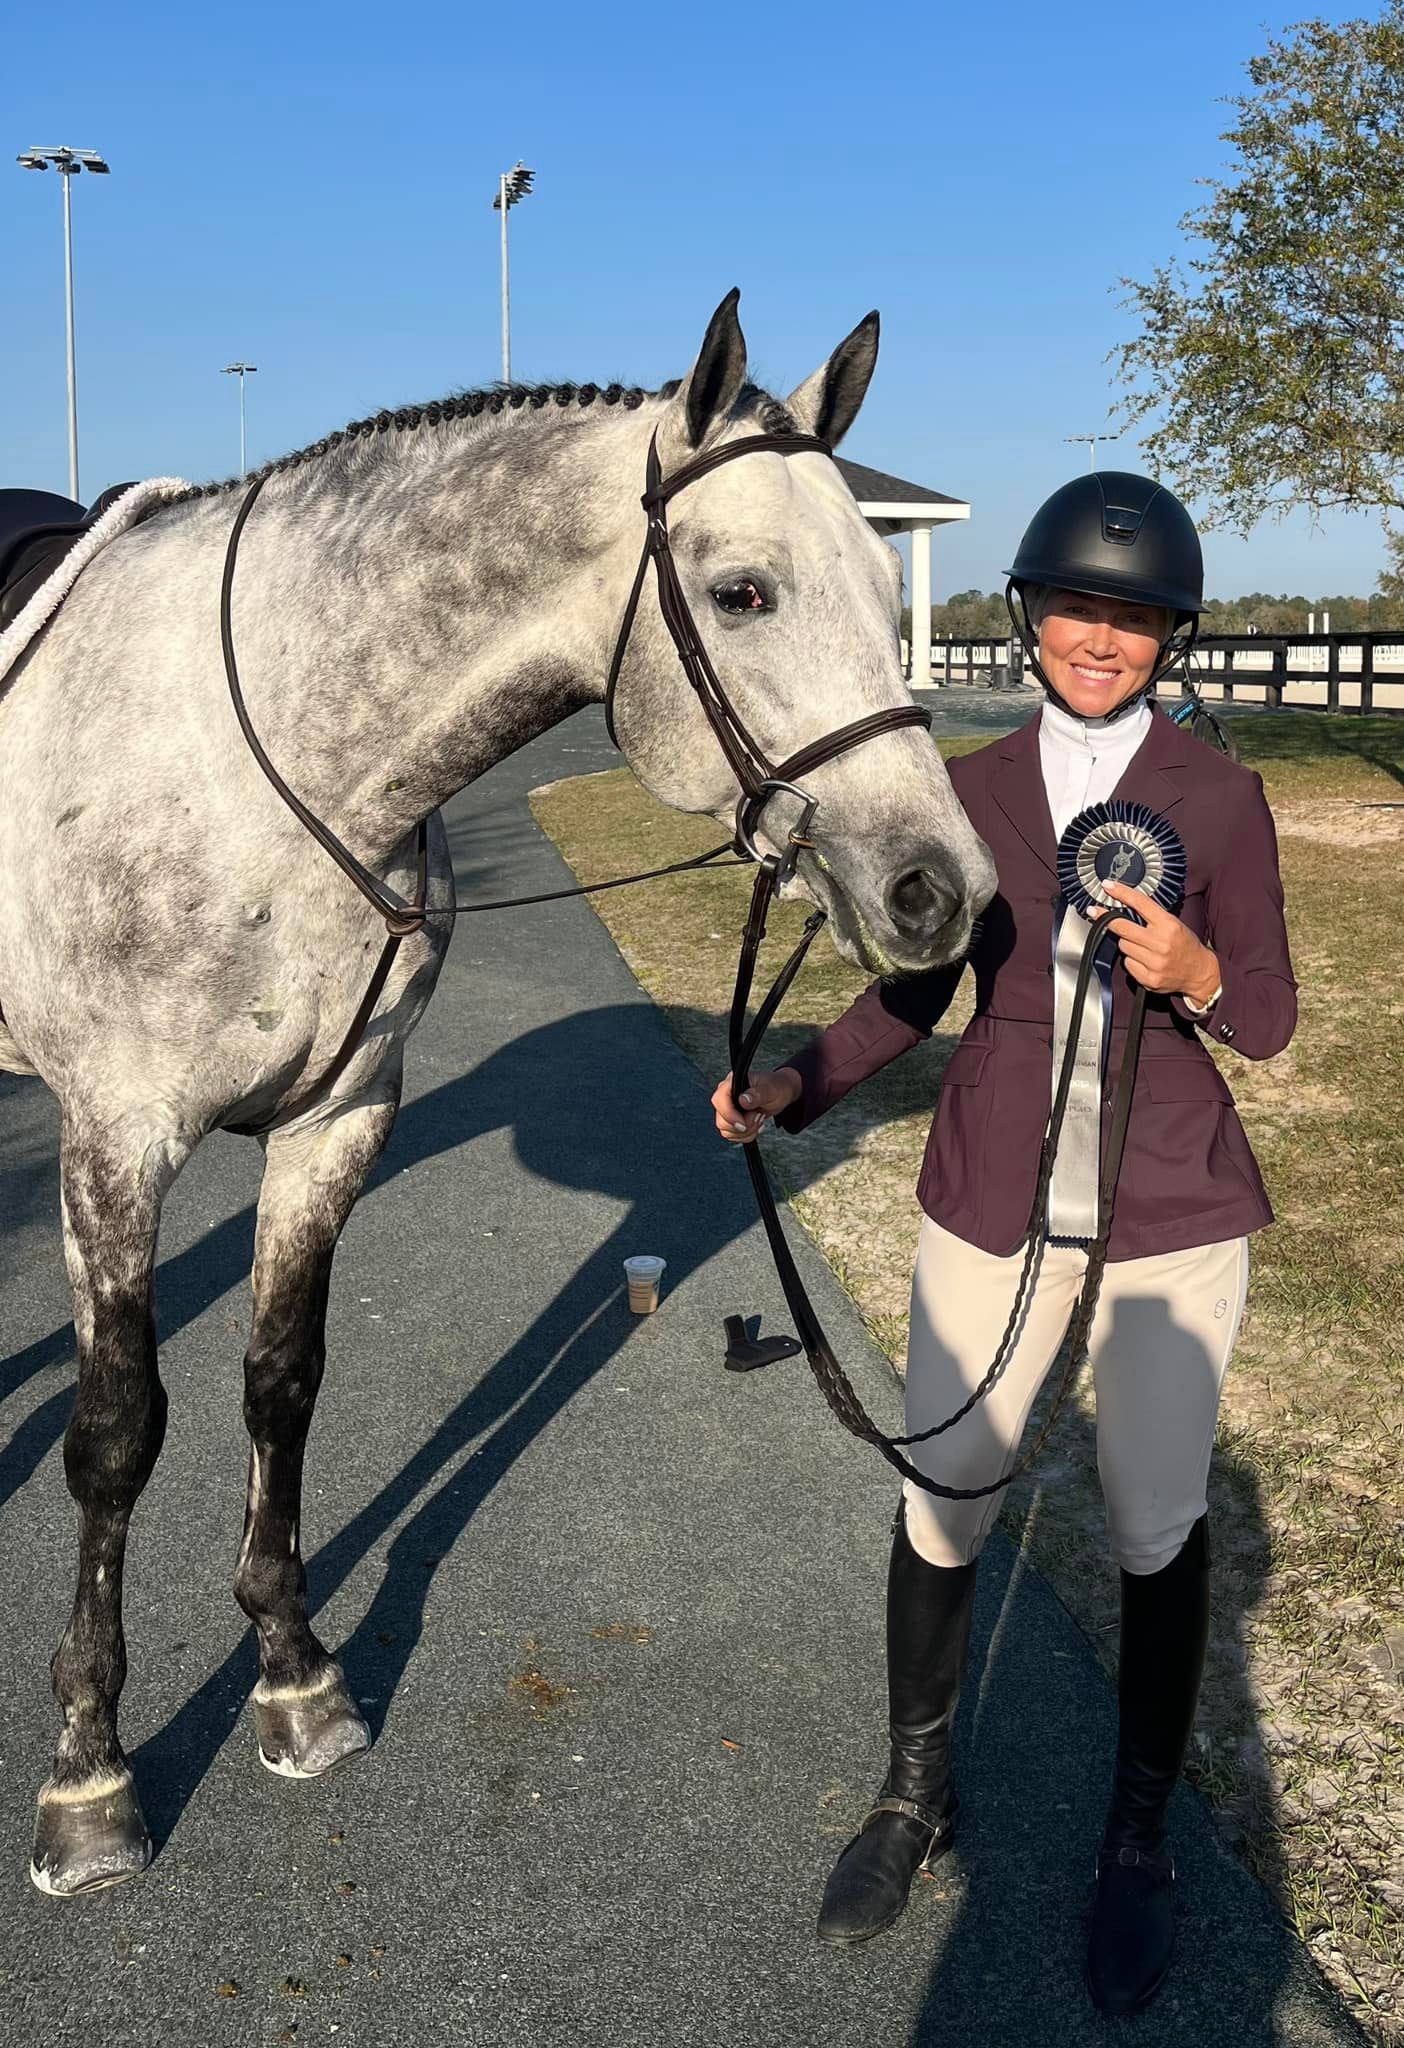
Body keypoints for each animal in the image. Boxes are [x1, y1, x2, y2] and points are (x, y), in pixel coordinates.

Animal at [0, 290, 996, 1896]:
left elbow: (281, 1381)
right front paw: (89, 1771)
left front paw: (294, 1672)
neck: (258, 758)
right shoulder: (114, 1142)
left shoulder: (338, 1123)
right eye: (743, 593)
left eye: (878, 573)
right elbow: (115, 1439)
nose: (940, 892)